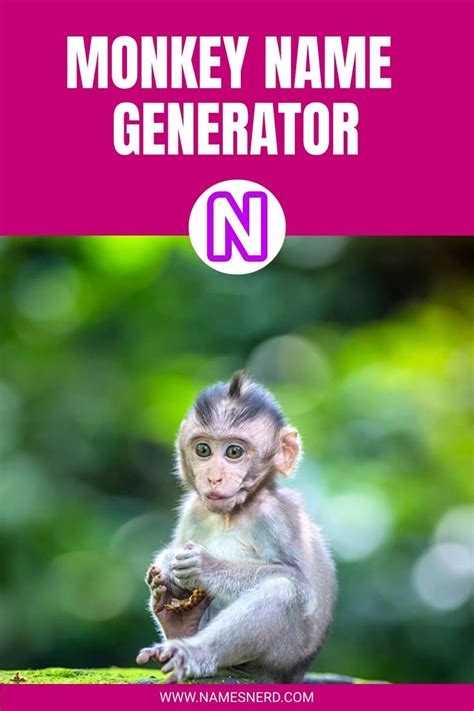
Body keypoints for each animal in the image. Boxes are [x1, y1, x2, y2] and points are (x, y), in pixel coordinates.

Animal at [136, 371, 337, 683]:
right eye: (203, 449)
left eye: (234, 452)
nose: (214, 478)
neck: (232, 514)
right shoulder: (194, 509)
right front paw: (167, 565)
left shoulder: (275, 517)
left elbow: (299, 584)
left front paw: (205, 566)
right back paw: (180, 623)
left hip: (284, 656)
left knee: (282, 591)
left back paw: (191, 652)